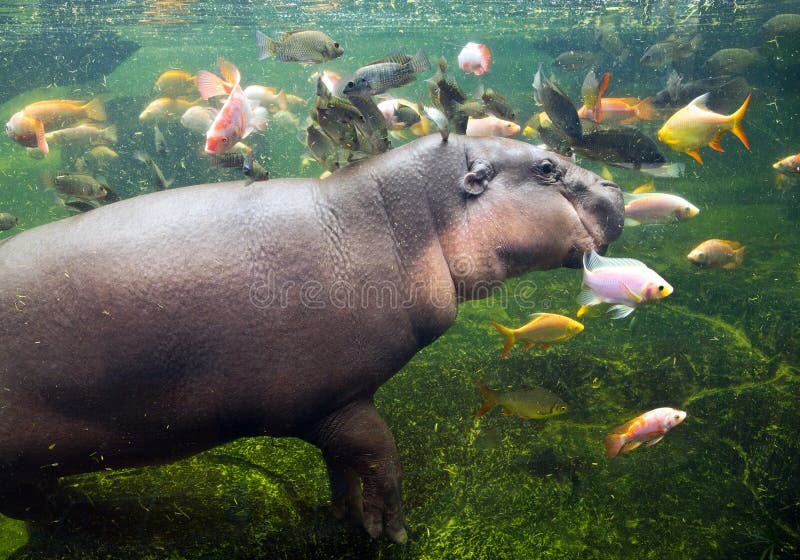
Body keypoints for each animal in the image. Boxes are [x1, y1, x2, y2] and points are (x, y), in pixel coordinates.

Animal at [0, 135, 623, 543]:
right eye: (547, 168)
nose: (616, 186)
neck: (405, 219)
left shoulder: (336, 404)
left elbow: (342, 463)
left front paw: (348, 516)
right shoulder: (333, 398)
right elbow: (380, 459)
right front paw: (390, 531)